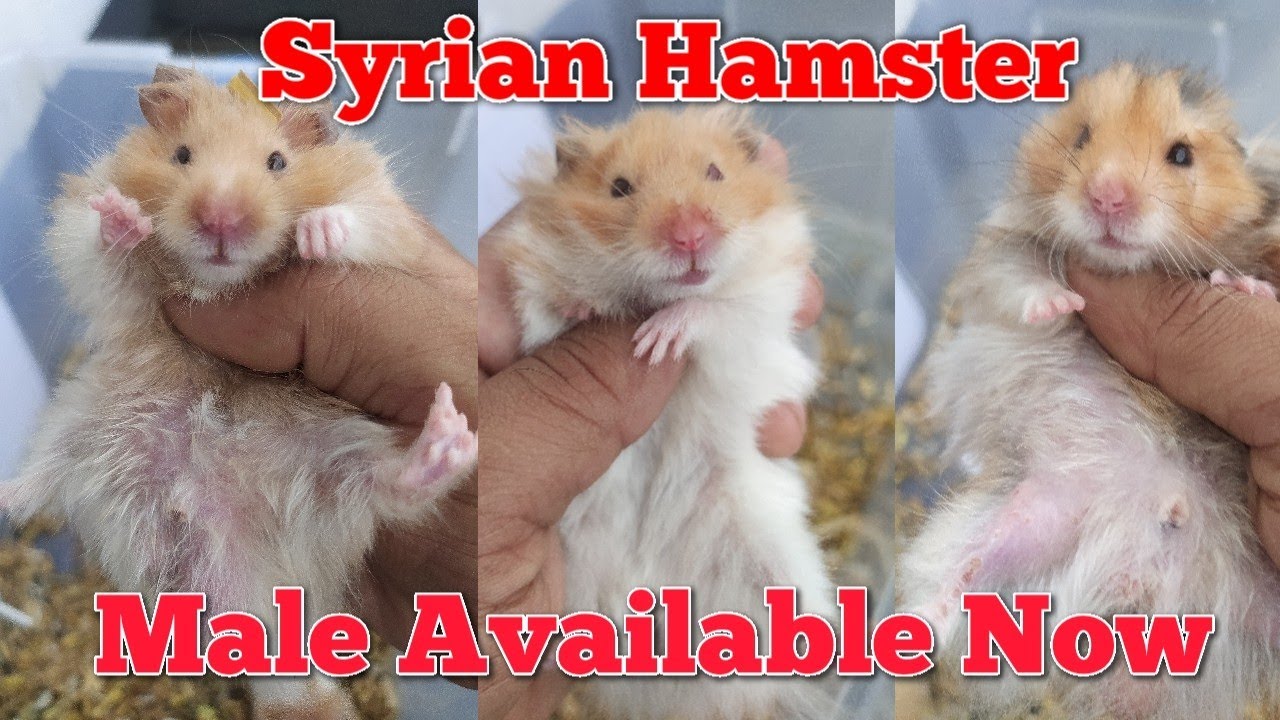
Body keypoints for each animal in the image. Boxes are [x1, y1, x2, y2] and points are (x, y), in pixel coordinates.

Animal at [1, 65, 477, 719]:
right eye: (181, 155)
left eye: (278, 162)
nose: (221, 221)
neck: (219, 284)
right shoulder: (112, 277)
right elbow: (104, 251)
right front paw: (125, 219)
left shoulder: (388, 218)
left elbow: (360, 222)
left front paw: (316, 231)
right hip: (81, 416)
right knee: (41, 479)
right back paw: (8, 493)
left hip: (332, 464)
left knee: (389, 487)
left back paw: (445, 442)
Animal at [496, 108, 834, 720]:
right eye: (619, 188)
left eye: (716, 173)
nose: (690, 237)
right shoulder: (530, 290)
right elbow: (552, 312)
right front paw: (590, 309)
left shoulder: (761, 305)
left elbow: (710, 309)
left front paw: (656, 339)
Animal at [899, 63, 1280, 719]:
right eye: (1081, 138)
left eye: (1181, 154)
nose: (1106, 196)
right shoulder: (1002, 252)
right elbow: (1023, 281)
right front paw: (1063, 304)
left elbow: (1251, 278)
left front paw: (1240, 287)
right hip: (1022, 518)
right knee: (955, 578)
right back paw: (918, 625)